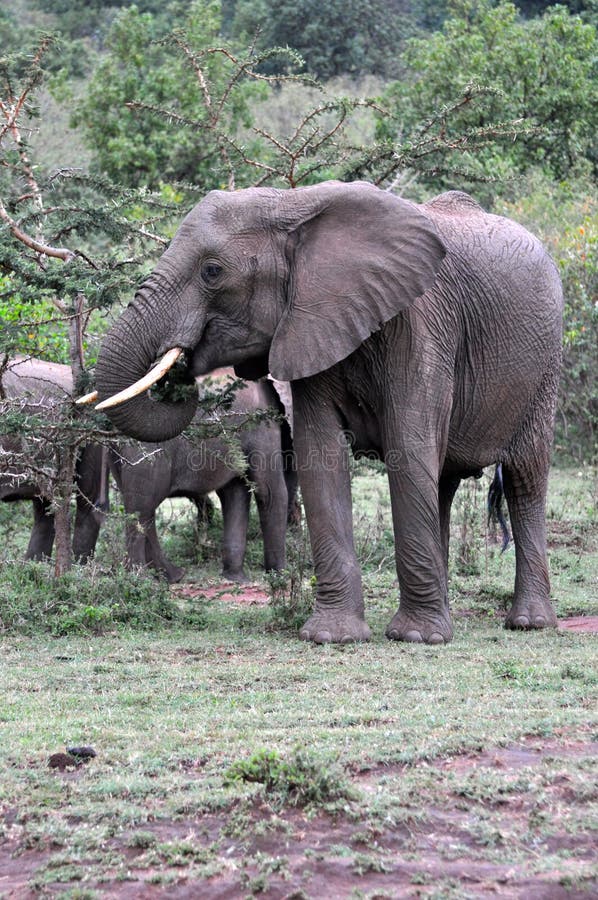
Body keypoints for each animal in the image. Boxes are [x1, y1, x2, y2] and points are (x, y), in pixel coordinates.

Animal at [109, 373, 294, 583]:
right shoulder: (261, 423)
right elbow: (269, 491)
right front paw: (280, 576)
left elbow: (235, 492)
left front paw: (236, 579)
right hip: (145, 452)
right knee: (142, 507)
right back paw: (139, 579)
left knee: (143, 509)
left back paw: (170, 576)